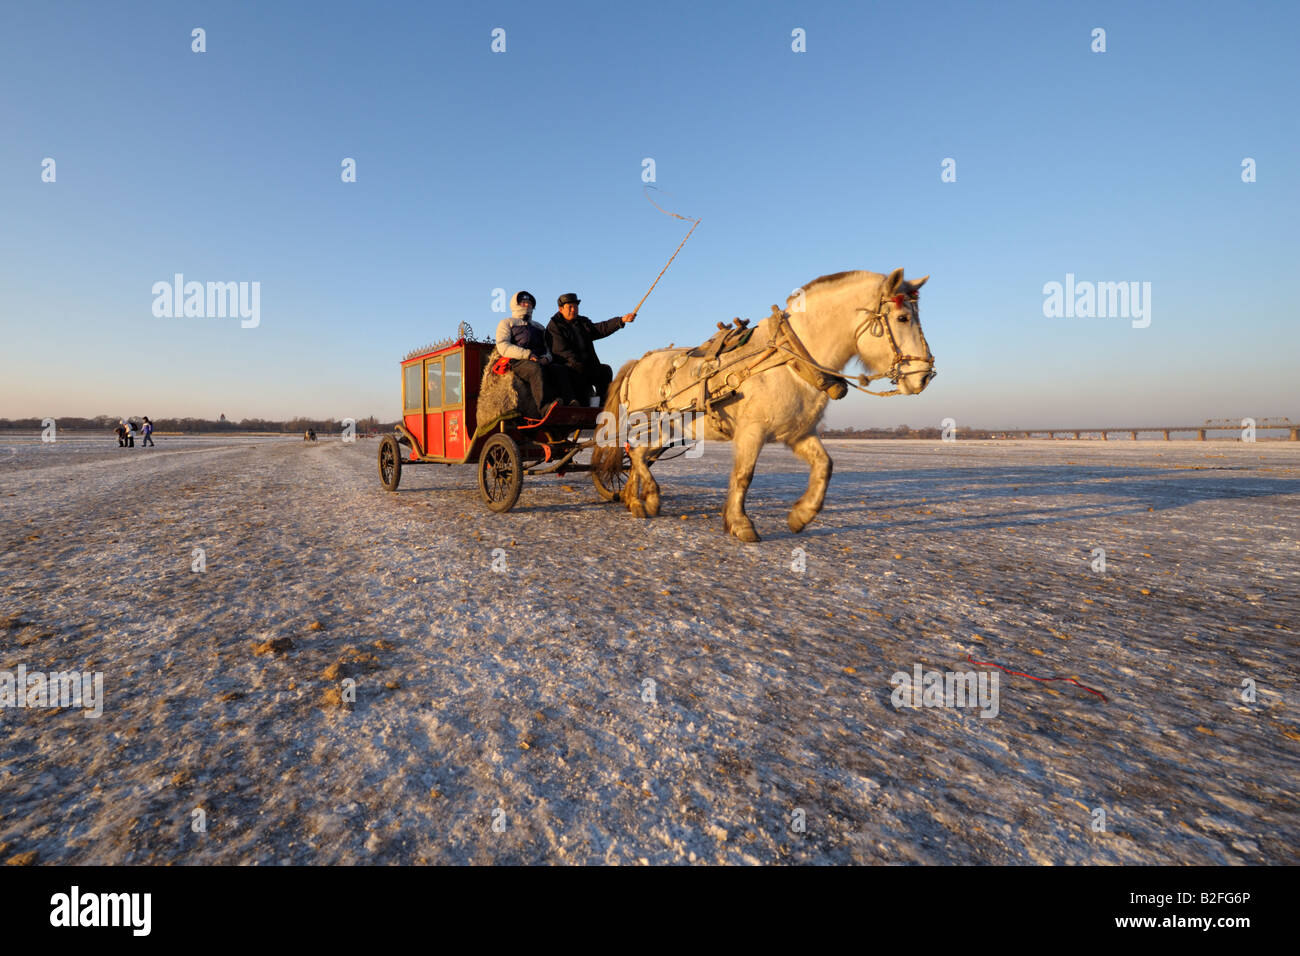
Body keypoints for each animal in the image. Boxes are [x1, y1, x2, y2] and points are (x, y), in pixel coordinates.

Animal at [591, 268, 935, 542]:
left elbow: (825, 466)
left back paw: (634, 499)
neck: (791, 360)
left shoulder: (799, 432)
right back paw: (646, 500)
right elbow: (744, 476)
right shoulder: (751, 431)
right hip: (653, 425)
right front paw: (740, 524)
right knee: (636, 455)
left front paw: (801, 515)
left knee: (638, 456)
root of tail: (640, 361)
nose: (924, 375)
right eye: (903, 318)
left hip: (667, 430)